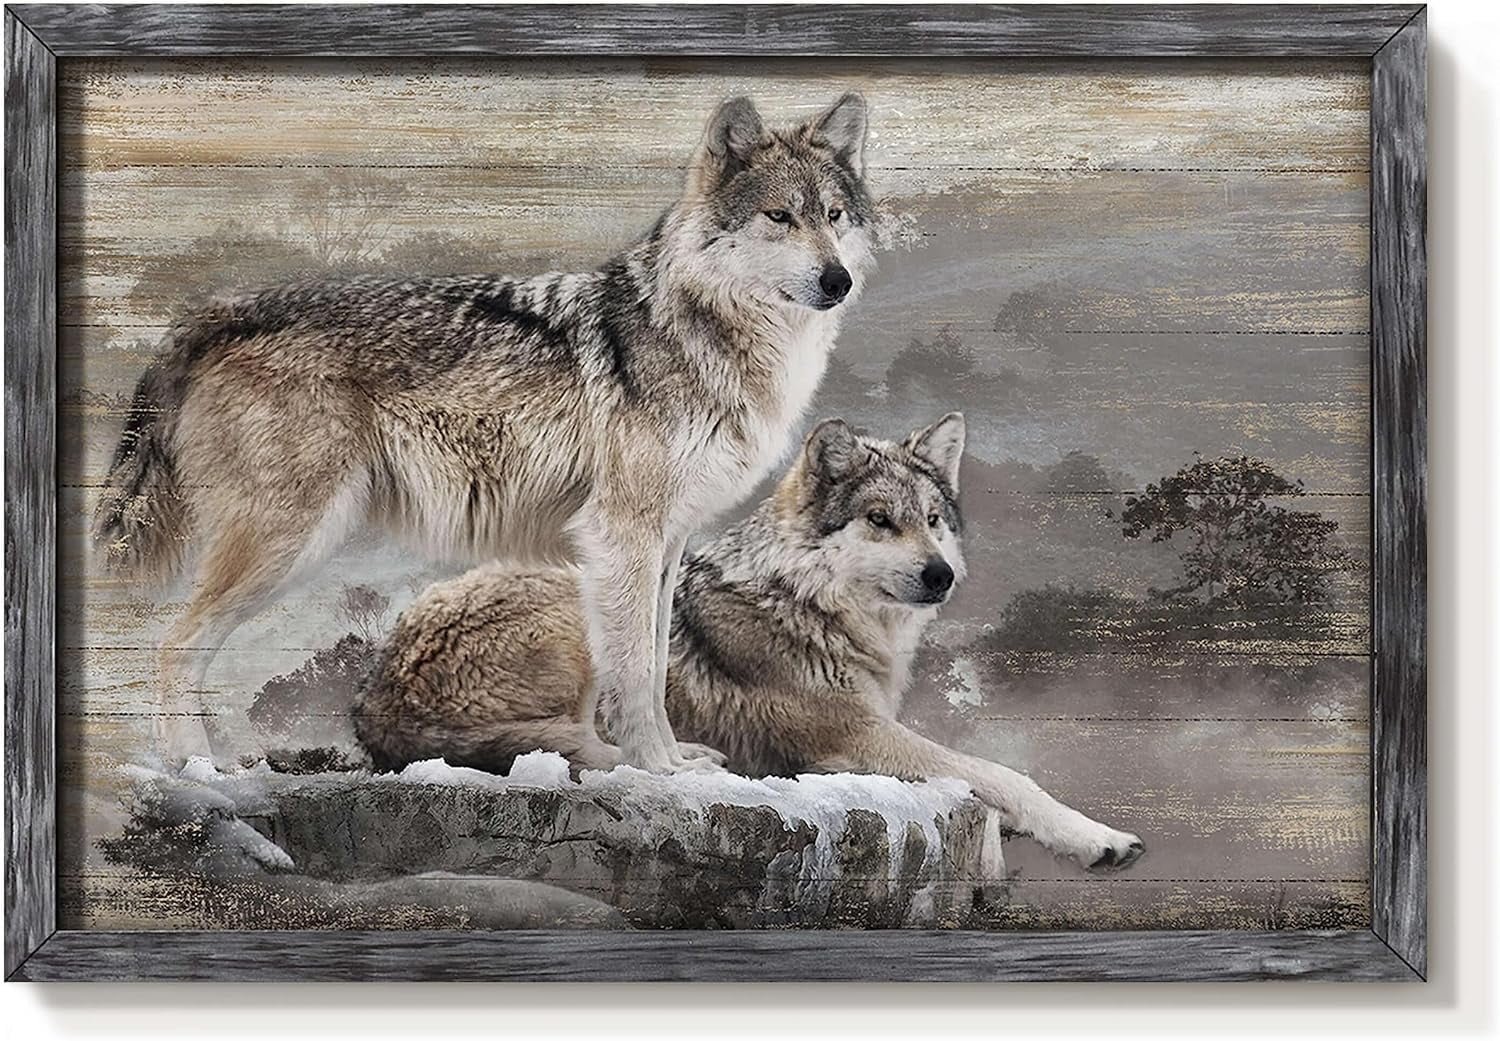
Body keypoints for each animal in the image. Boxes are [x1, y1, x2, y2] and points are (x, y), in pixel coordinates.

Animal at [94, 93, 878, 772]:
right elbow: (633, 675)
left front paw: (675, 760)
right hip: (290, 542)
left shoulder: (667, 542)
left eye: (834, 215)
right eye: (779, 216)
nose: (837, 281)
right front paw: (658, 768)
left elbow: (656, 669)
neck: (709, 333)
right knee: (172, 647)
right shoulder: (621, 535)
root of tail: (221, 308)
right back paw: (194, 765)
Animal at [354, 415, 1146, 870]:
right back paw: (690, 762)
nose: (941, 574)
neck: (809, 604)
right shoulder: (856, 735)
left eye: (932, 520)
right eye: (879, 519)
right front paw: (1095, 835)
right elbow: (1004, 775)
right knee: (596, 753)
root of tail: (372, 701)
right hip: (583, 611)